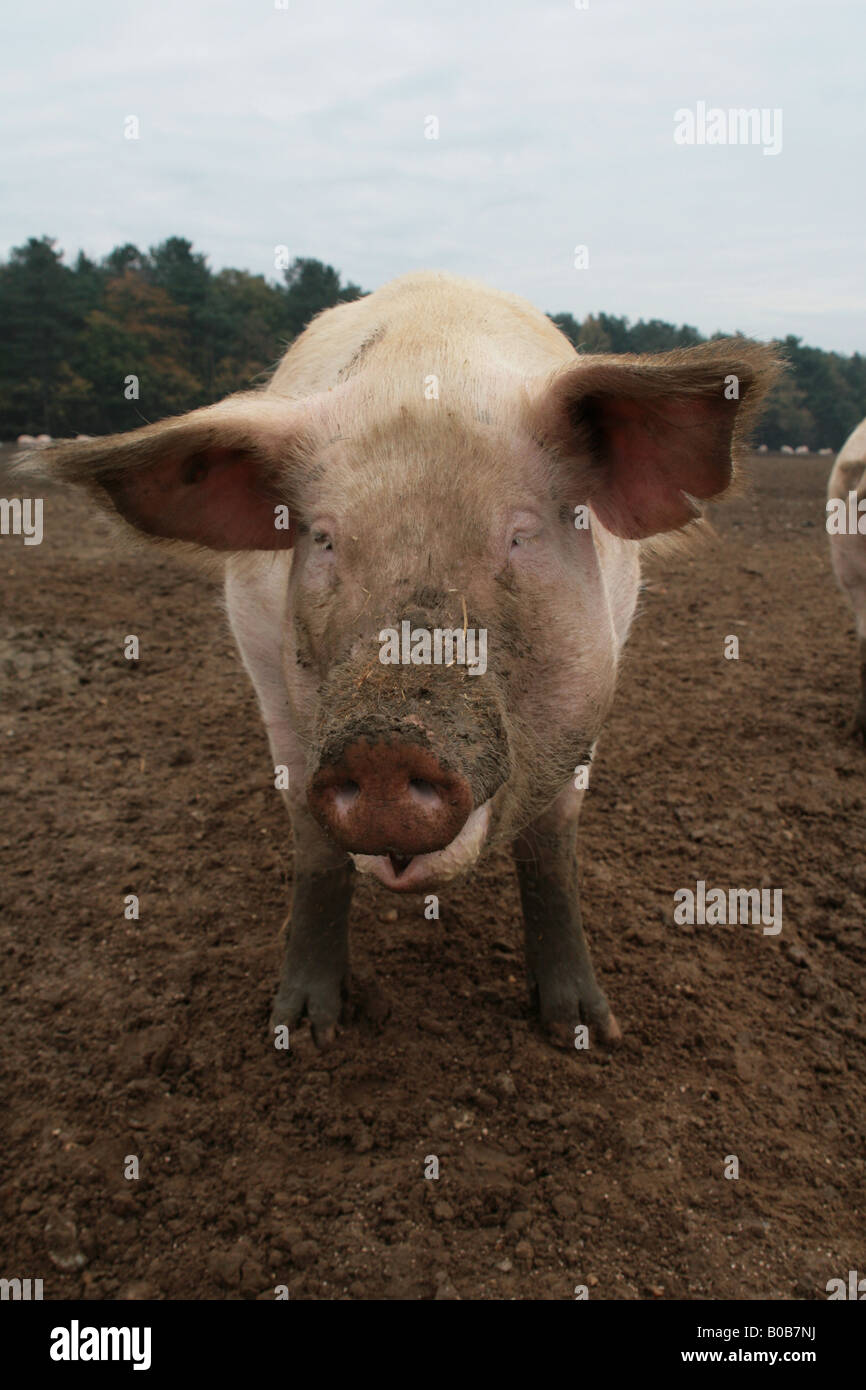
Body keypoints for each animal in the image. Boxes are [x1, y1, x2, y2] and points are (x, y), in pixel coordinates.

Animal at [24, 271, 779, 1047]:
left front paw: (588, 1032)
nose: (385, 744)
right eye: (324, 539)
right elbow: (315, 845)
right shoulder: (264, 668)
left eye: (519, 536)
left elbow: (551, 844)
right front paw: (303, 1031)